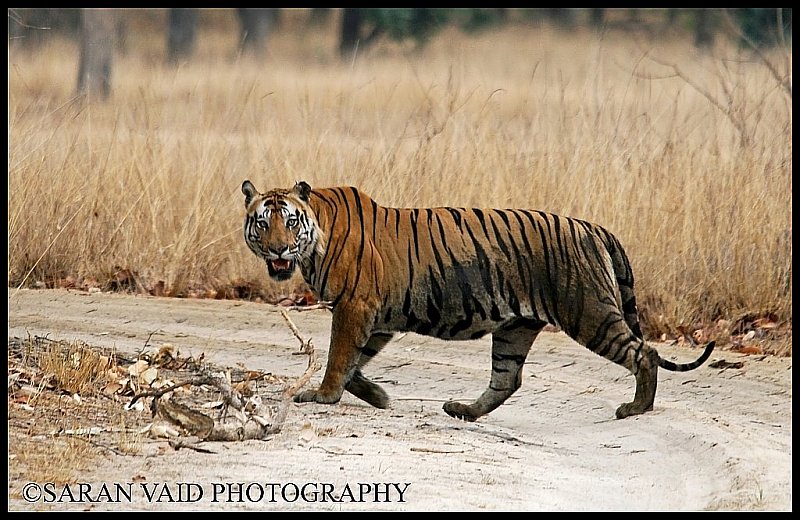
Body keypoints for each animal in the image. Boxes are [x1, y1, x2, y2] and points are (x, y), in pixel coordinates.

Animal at [241, 180, 714, 421]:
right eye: (263, 223)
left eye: (290, 222)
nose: (279, 249)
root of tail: (594, 227)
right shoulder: (376, 316)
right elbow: (355, 363)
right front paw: (377, 396)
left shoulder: (355, 306)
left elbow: (339, 356)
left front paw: (322, 396)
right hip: (517, 328)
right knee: (508, 379)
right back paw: (464, 410)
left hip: (589, 312)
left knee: (644, 352)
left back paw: (636, 408)